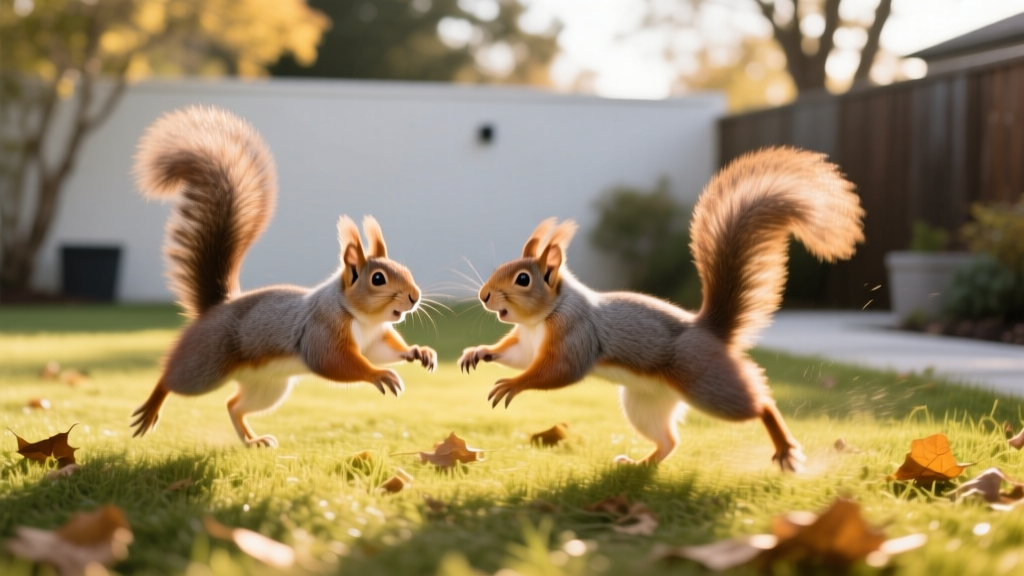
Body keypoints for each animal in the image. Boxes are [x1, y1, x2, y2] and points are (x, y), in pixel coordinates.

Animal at [129, 105, 436, 447]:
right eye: (378, 279)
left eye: (405, 270)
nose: (415, 297)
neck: (364, 320)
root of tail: (214, 309)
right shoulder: (322, 331)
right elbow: (333, 361)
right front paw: (378, 375)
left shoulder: (373, 341)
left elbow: (383, 351)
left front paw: (418, 351)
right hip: (206, 366)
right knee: (173, 379)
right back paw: (152, 406)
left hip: (268, 387)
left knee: (233, 405)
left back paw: (253, 441)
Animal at [458, 147, 864, 471]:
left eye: (523, 279)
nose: (484, 295)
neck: (541, 320)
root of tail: (712, 332)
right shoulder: (528, 342)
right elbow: (517, 356)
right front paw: (479, 352)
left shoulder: (576, 334)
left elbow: (558, 370)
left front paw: (513, 384)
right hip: (645, 403)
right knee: (669, 440)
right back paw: (638, 464)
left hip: (708, 384)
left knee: (759, 403)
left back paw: (782, 445)